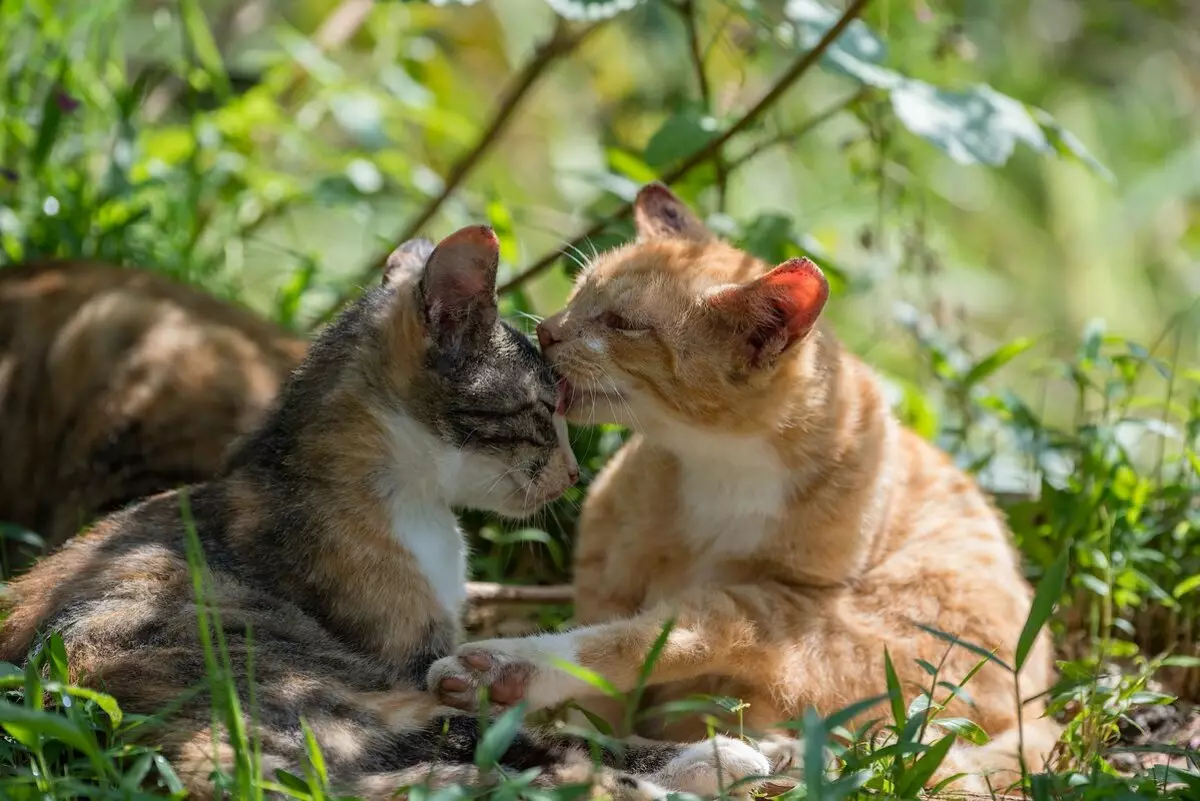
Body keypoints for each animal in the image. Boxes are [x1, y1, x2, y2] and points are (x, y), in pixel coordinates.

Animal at [429, 184, 1060, 791]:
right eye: (579, 292)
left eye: (622, 324)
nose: (545, 331)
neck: (722, 458)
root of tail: (1034, 709)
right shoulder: (605, 569)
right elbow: (604, 703)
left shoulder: (793, 594)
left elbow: (657, 644)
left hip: (838, 625)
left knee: (702, 639)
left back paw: (506, 671)